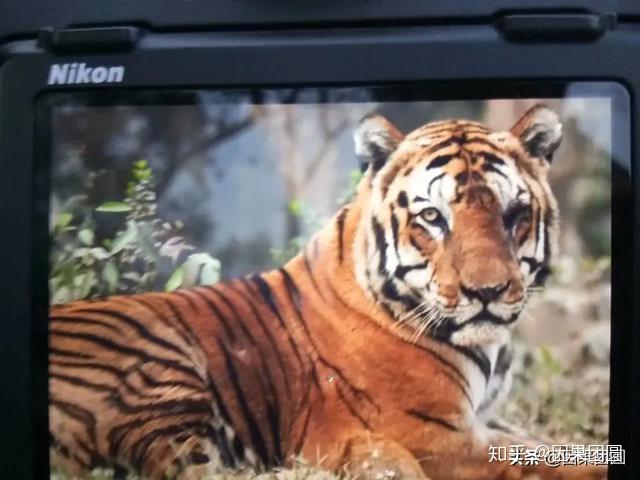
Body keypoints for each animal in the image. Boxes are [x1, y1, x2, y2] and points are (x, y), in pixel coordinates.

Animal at [49, 104, 608, 480]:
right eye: (433, 217)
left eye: (514, 215)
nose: (488, 292)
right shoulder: (436, 436)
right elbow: (543, 465)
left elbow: (549, 444)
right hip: (159, 360)